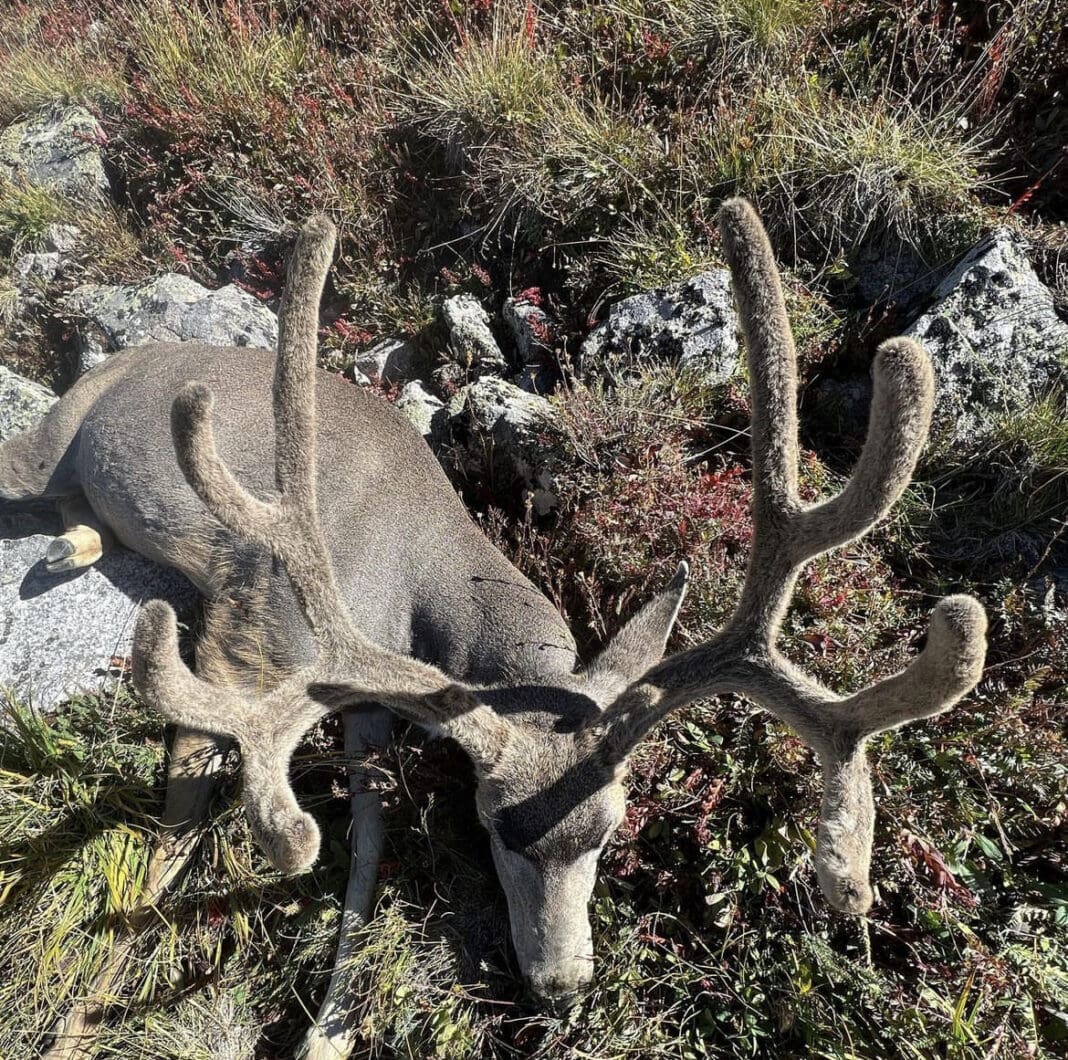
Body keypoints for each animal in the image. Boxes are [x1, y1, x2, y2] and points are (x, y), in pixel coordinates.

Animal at [0, 199, 987, 1060]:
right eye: (495, 828)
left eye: (610, 828)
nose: (561, 986)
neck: (418, 569)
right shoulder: (254, 637)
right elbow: (180, 824)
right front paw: (78, 1022)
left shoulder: (368, 704)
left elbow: (369, 840)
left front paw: (329, 1033)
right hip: (49, 445)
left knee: (74, 515)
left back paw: (67, 548)